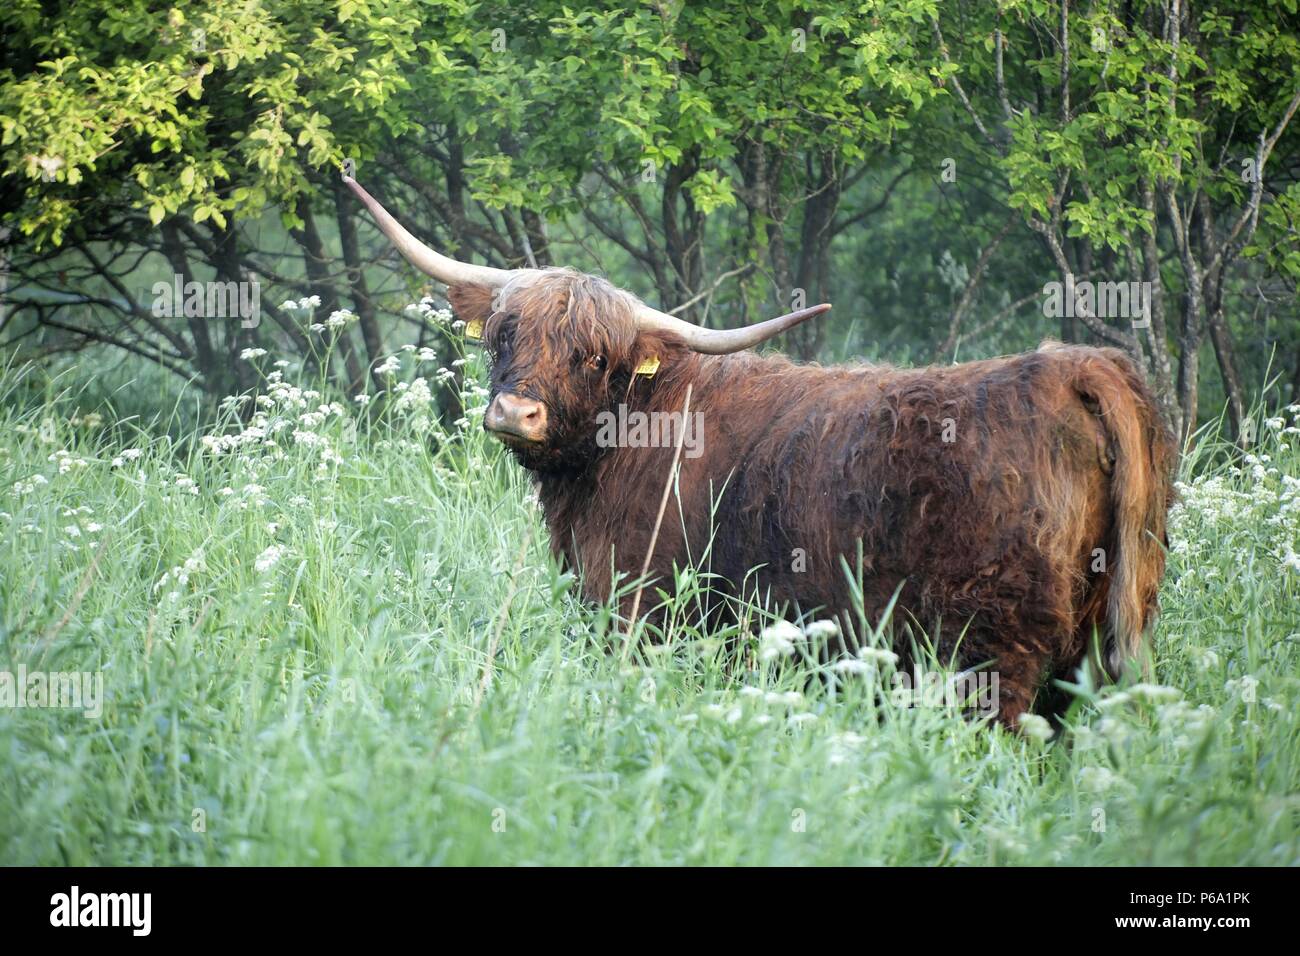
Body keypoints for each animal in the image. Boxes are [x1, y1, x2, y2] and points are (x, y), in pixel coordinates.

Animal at [344, 174, 1176, 729]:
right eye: (505, 334)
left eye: (592, 355)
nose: (515, 412)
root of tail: (1073, 366)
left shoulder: (636, 608)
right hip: (1094, 645)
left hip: (992, 650)